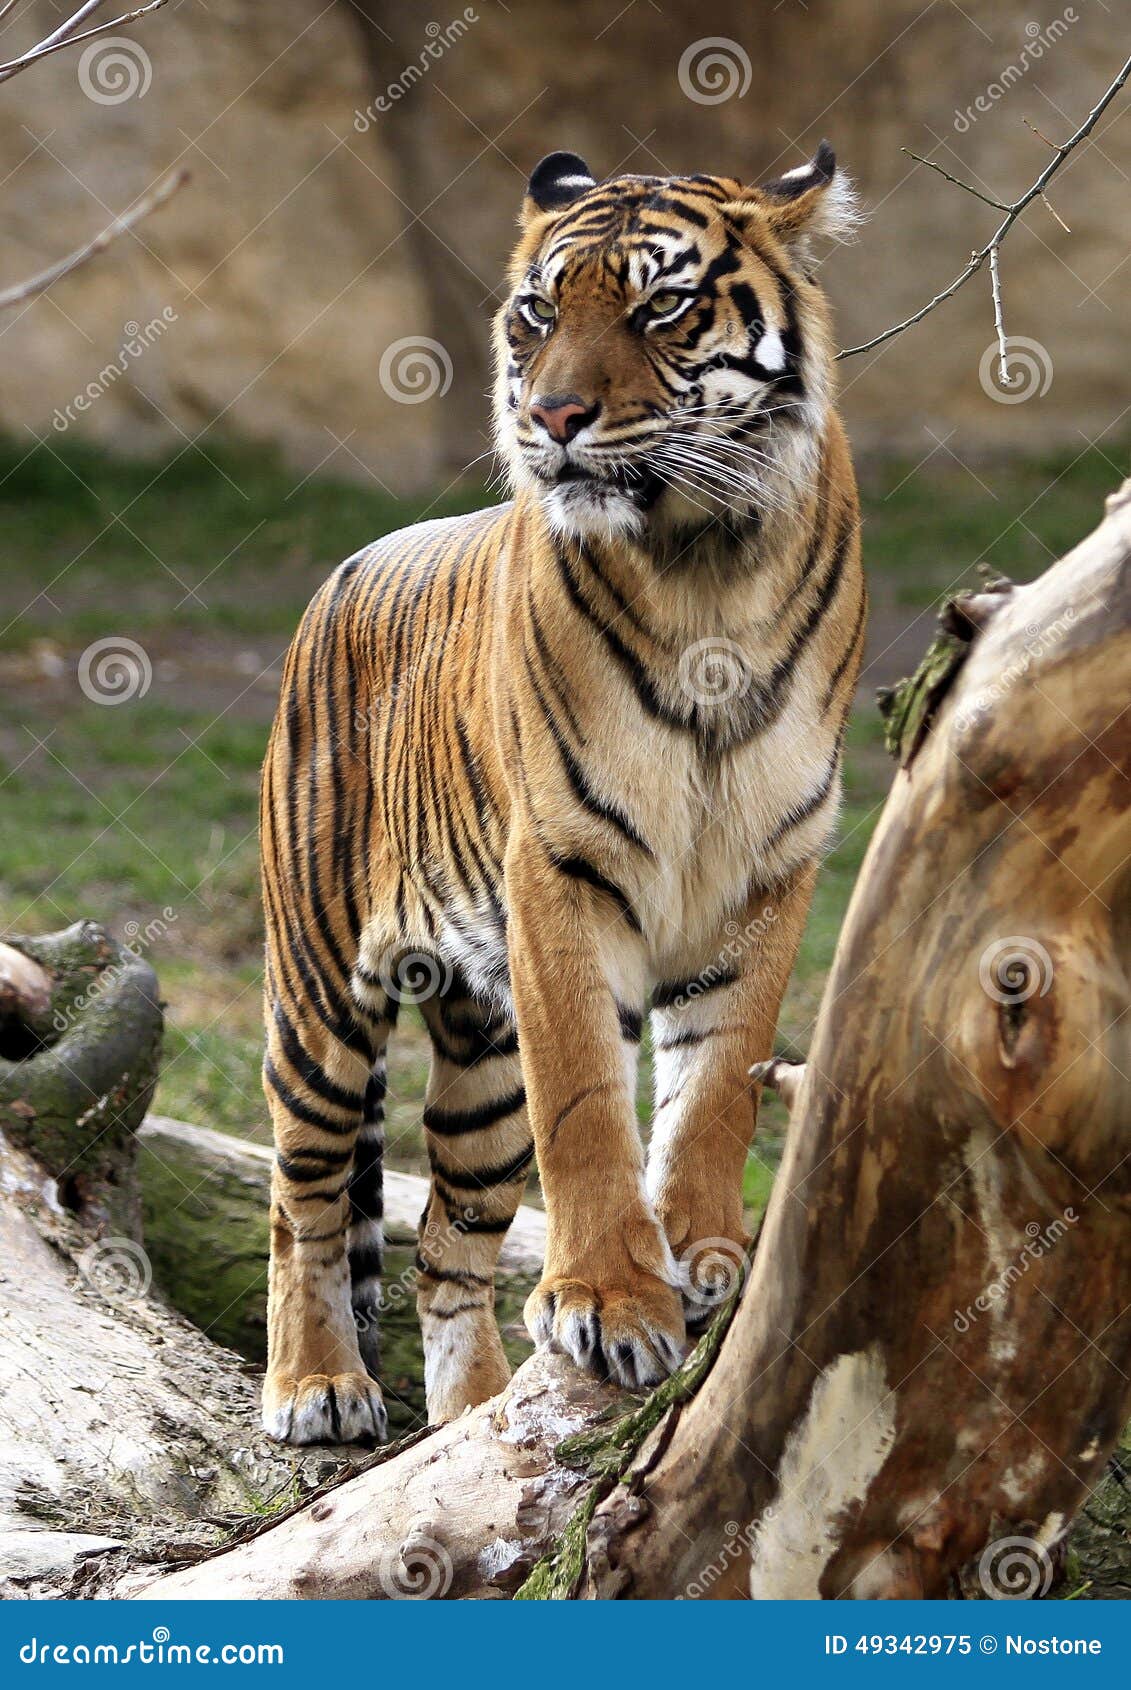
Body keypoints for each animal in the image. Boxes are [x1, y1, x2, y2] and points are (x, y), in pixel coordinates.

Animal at [259, 142, 866, 1444]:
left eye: (663, 306)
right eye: (537, 314)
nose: (552, 417)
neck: (706, 561)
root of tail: (342, 573)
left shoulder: (772, 867)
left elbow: (719, 1082)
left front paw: (705, 1255)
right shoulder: (563, 870)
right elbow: (588, 1102)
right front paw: (611, 1302)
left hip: (481, 1065)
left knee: (445, 1244)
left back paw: (475, 1413)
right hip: (319, 1002)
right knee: (306, 1198)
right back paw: (316, 1387)